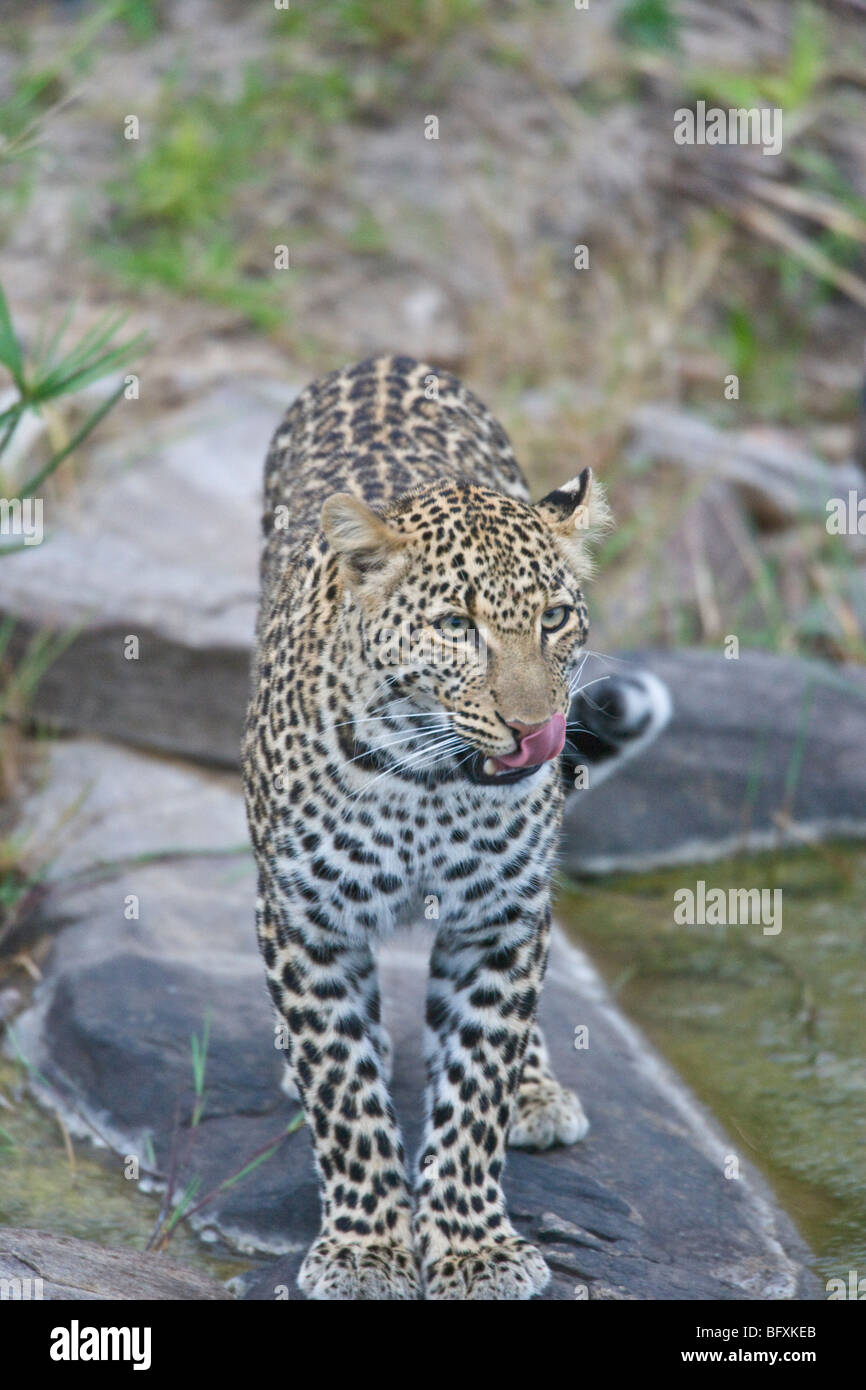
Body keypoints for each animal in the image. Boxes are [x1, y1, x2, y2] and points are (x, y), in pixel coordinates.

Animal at [241, 352, 613, 1301]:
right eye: (455, 626)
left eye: (554, 617)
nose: (536, 728)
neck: (432, 783)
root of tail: (383, 357)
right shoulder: (306, 921)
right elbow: (343, 1089)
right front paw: (367, 1247)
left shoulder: (500, 918)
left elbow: (476, 1081)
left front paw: (474, 1246)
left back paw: (536, 1089)